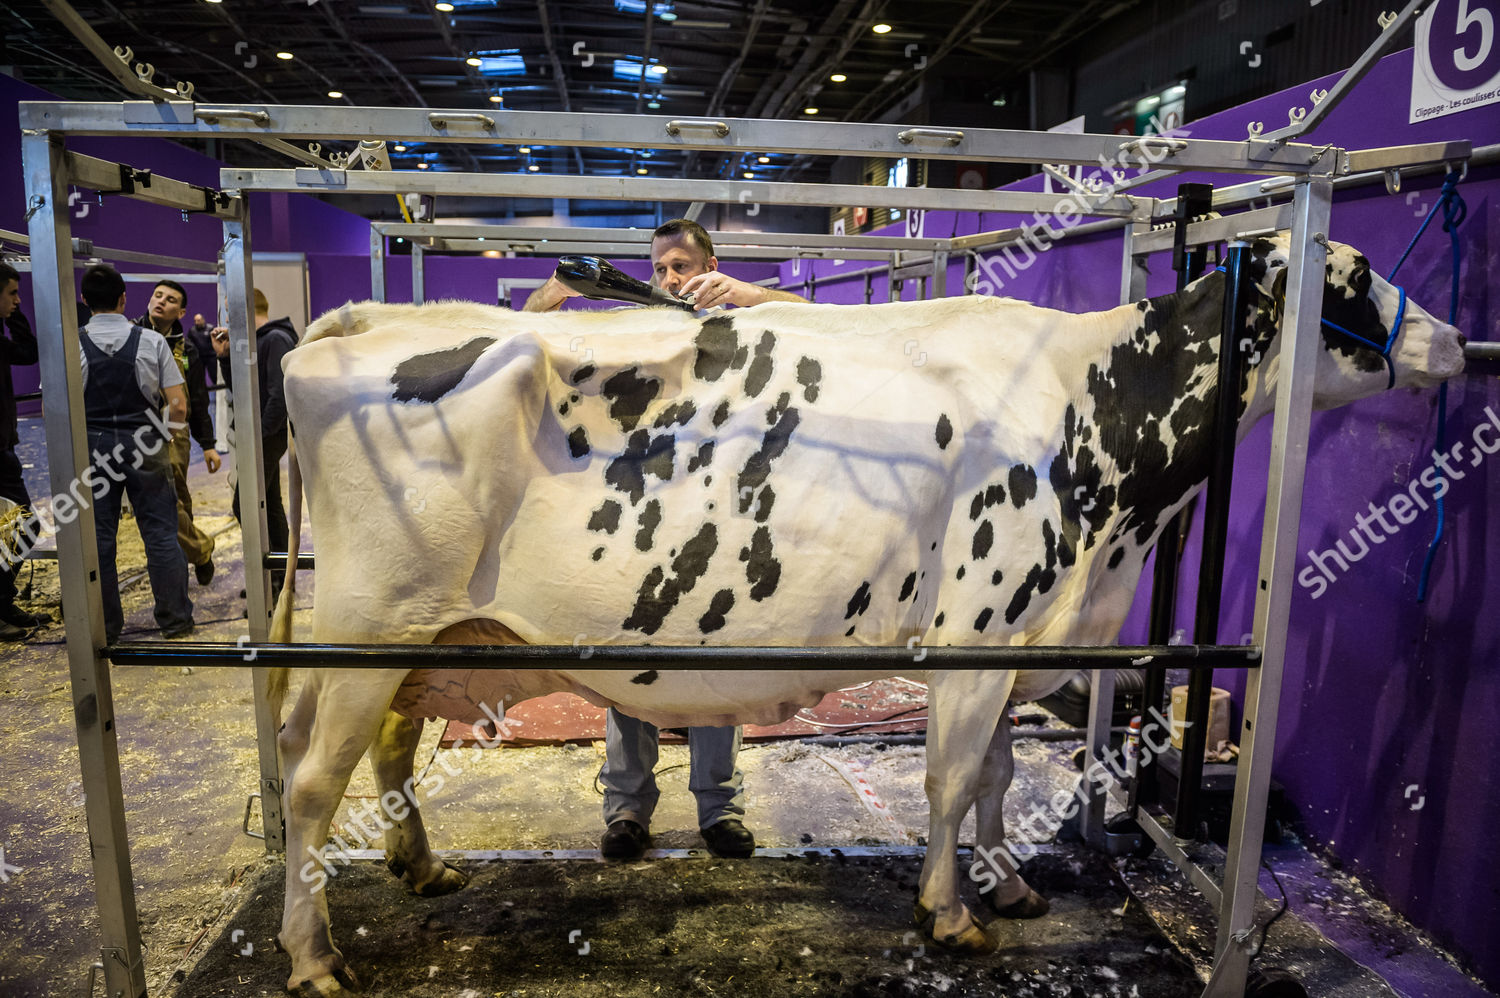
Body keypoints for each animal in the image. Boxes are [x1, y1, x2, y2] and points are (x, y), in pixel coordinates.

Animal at [266, 234, 1465, 994]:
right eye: (1358, 275)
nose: (1458, 342)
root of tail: (371, 317)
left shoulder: (1020, 640)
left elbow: (999, 775)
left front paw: (1011, 883)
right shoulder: (977, 634)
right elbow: (951, 779)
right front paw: (950, 910)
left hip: (417, 637)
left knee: (385, 749)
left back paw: (421, 867)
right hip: (362, 625)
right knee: (312, 781)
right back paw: (314, 956)